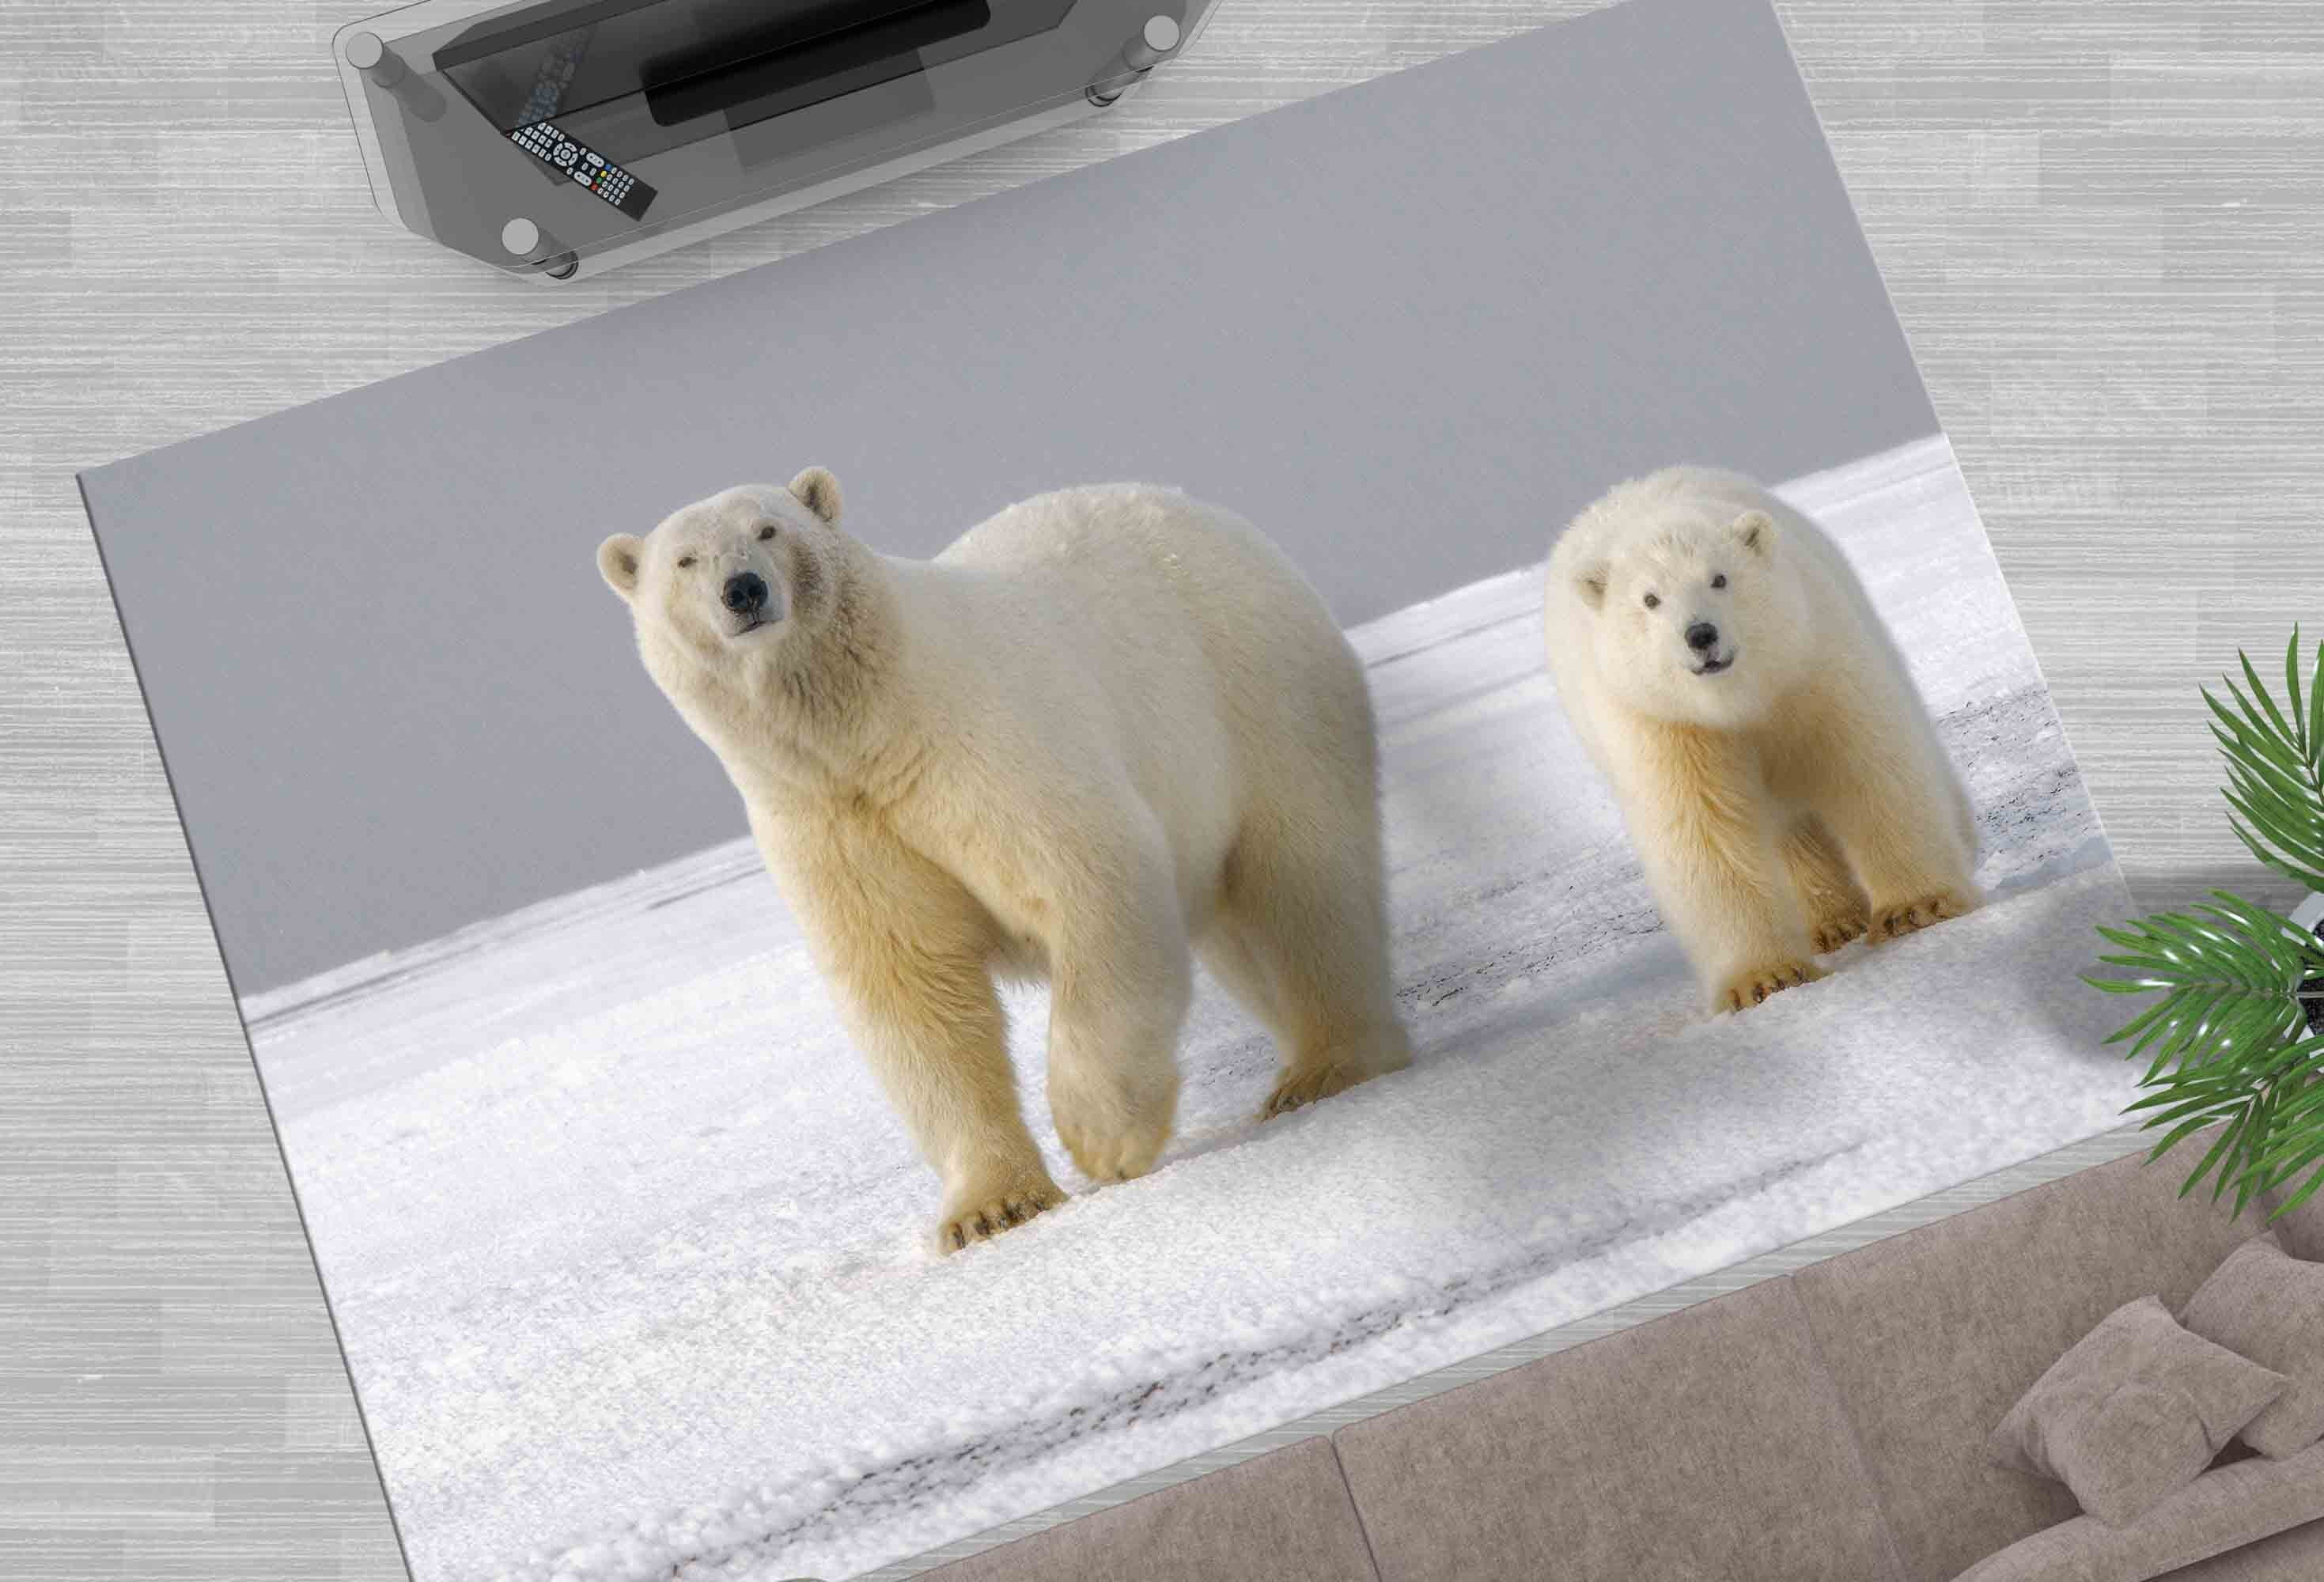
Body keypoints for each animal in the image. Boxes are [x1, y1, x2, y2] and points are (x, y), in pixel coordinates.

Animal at [599, 469, 1411, 1252]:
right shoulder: (826, 821)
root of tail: (1205, 511)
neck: (867, 730)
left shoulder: (982, 747)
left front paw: (1103, 1139)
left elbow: (1090, 877)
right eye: (685, 560)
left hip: (1257, 692)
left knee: (1306, 878)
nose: (743, 589)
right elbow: (910, 987)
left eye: (768, 528)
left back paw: (1330, 1064)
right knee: (1248, 935)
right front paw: (989, 1210)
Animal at [1542, 466, 1980, 1014]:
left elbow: (1866, 763)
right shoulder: (1661, 723)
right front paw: (1765, 978)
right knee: (1788, 828)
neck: (1738, 700)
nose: (1701, 635)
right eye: (1650, 599)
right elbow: (1702, 831)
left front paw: (1917, 906)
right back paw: (1832, 922)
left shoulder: (1809, 665)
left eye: (1719, 577)